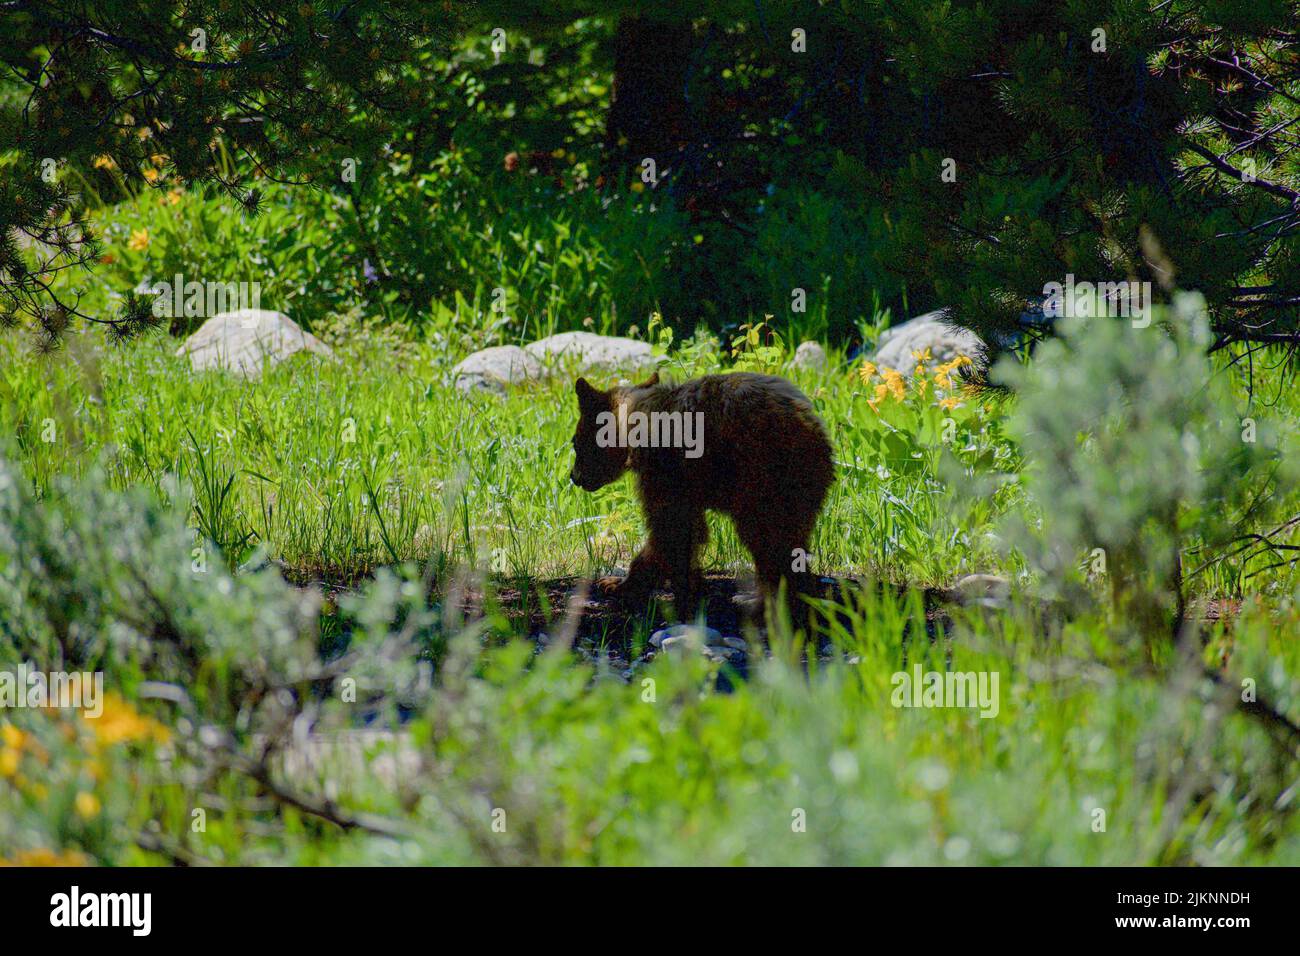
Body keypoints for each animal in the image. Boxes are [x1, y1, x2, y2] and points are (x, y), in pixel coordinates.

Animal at [569, 370, 834, 627]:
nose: (574, 476)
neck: (632, 429)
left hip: (763, 476)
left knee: (769, 540)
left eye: (574, 442)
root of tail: (811, 426)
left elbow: (670, 530)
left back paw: (773, 606)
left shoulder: (664, 470)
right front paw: (690, 587)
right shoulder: (685, 482)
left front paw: (619, 584)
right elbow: (688, 529)